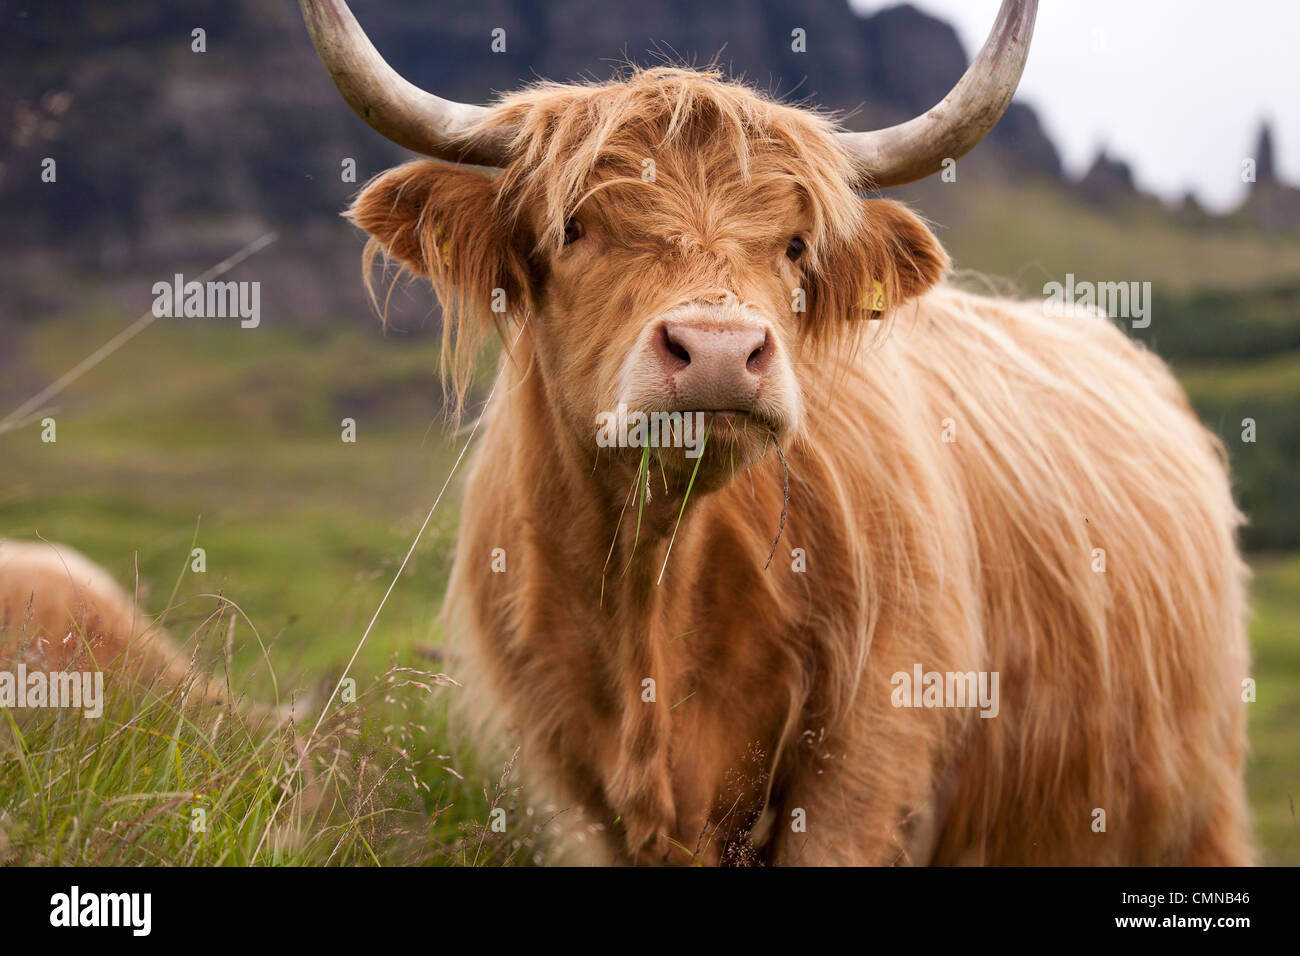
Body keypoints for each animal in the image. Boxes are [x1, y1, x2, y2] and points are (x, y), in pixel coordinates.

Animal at [301, 0, 1254, 865]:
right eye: (574, 226)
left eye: (796, 246)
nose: (721, 351)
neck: (657, 583)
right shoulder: (572, 783)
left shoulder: (869, 756)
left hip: (1197, 806)